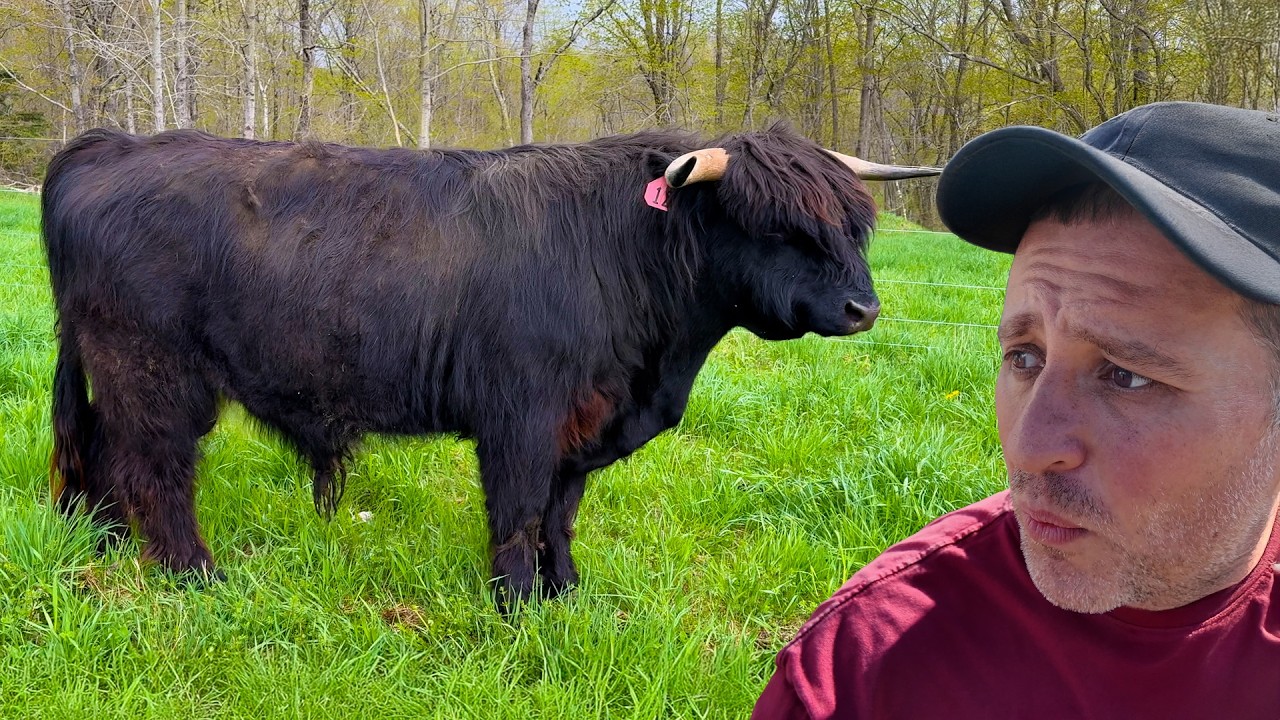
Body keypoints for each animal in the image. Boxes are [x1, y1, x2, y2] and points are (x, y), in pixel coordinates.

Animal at [41, 125, 939, 610]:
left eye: (854, 224)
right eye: (775, 225)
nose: (863, 309)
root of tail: (108, 145)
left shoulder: (582, 421)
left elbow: (561, 514)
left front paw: (566, 592)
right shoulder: (520, 417)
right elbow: (516, 513)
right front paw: (514, 605)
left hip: (107, 373)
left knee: (100, 455)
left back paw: (104, 543)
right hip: (152, 374)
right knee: (156, 470)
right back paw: (195, 575)